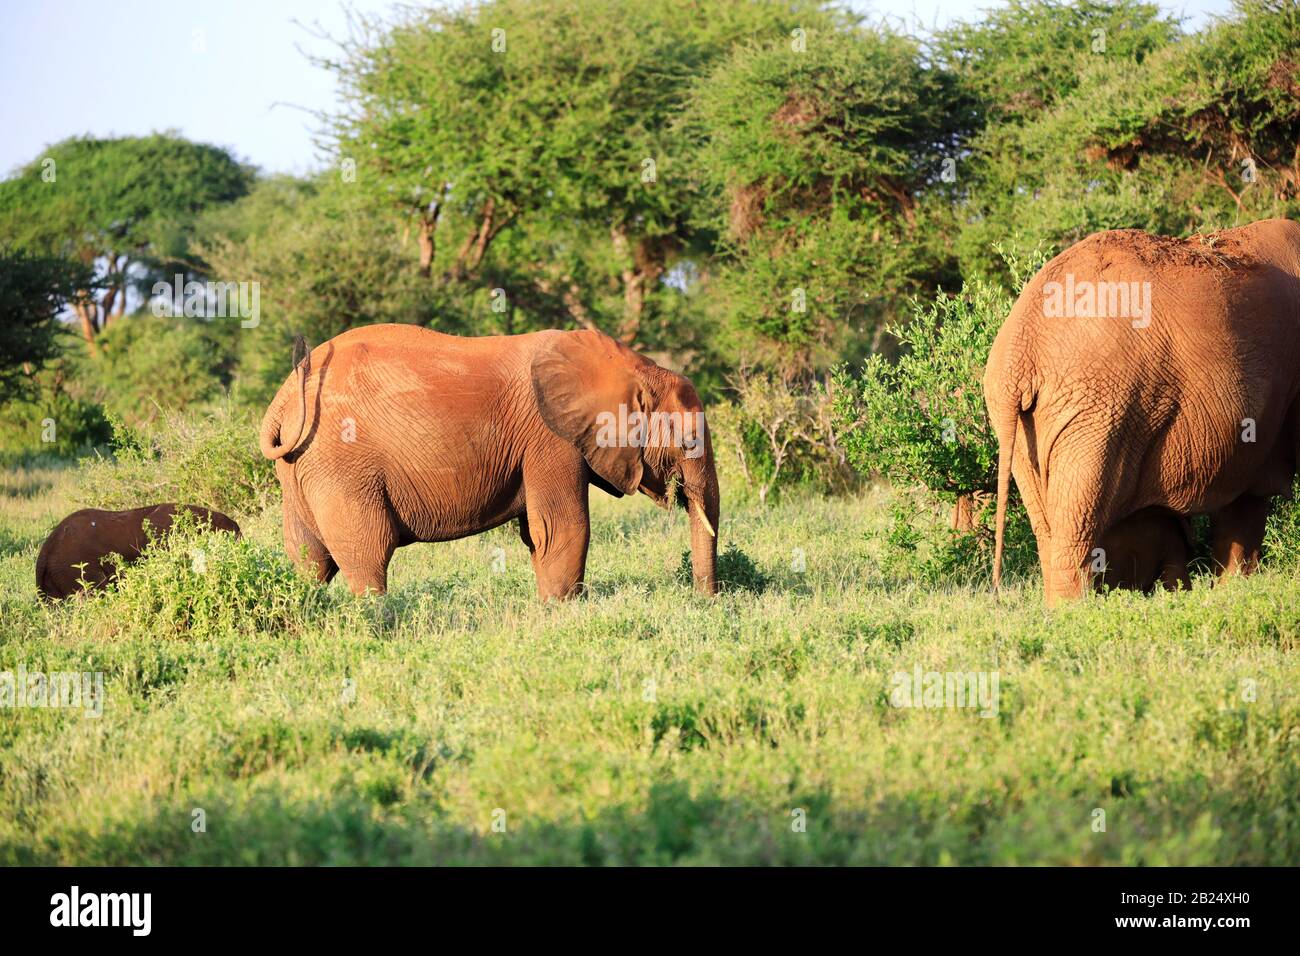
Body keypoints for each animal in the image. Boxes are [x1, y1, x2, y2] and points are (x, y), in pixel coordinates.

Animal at [258, 325, 720, 599]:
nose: (705, 600)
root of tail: (282, 402)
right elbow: (562, 528)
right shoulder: (550, 440)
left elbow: (539, 536)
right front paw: (561, 611)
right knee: (366, 552)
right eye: (688, 441)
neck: (630, 367)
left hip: (303, 470)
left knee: (310, 558)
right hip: (343, 467)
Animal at [984, 217, 1300, 605]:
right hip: (1099, 405)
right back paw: (1074, 612)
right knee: (1075, 522)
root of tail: (1020, 345)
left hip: (1024, 426)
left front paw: (1231, 594)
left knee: (1048, 526)